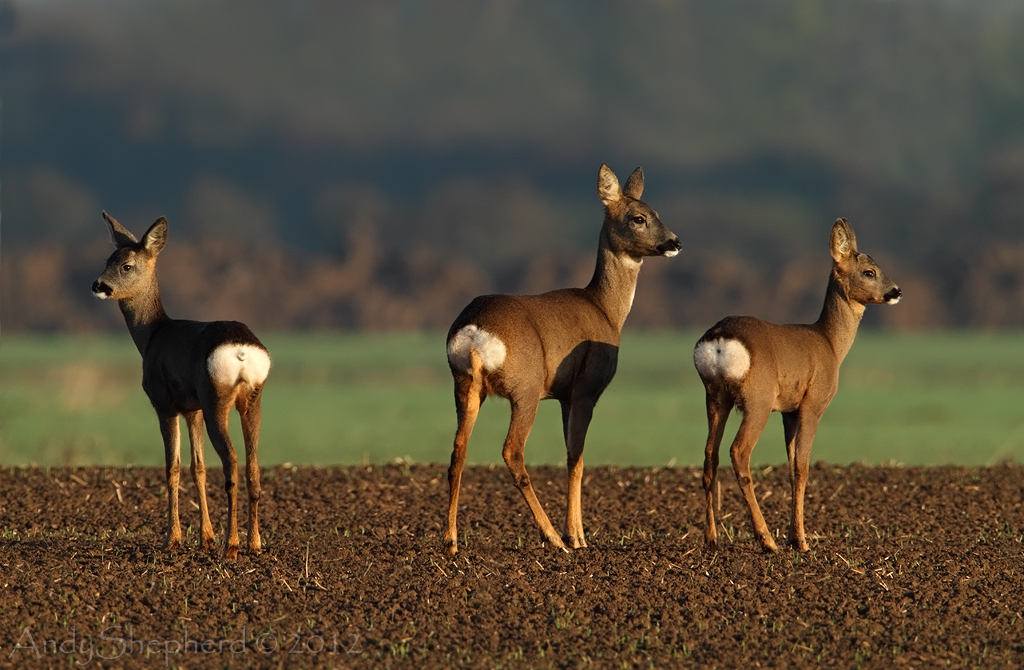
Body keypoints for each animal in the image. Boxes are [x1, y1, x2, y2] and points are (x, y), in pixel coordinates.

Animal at [92, 212, 270, 560]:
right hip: (252, 399)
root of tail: (242, 350)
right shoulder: (192, 408)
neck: (151, 335)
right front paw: (205, 537)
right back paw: (254, 543)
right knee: (253, 466)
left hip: (217, 399)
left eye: (127, 266)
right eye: (108, 259)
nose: (98, 285)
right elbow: (197, 467)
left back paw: (232, 545)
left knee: (232, 462)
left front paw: (172, 539)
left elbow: (171, 467)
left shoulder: (164, 404)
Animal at [443, 164, 681, 556]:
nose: (675, 243)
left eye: (657, 212)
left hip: (464, 385)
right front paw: (578, 536)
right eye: (638, 218)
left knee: (457, 451)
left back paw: (450, 541)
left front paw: (577, 533)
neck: (605, 310)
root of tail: (474, 332)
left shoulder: (563, 396)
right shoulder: (585, 389)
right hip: (525, 390)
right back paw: (553, 537)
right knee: (512, 451)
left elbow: (571, 455)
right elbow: (577, 458)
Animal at [693, 218, 900, 553]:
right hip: (758, 400)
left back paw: (712, 538)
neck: (830, 343)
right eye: (869, 271)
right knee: (738, 452)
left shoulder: (788, 412)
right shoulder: (812, 405)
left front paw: (793, 535)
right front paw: (801, 541)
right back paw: (766, 540)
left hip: (714, 397)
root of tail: (720, 341)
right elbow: (803, 468)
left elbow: (790, 469)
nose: (896, 291)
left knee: (710, 454)